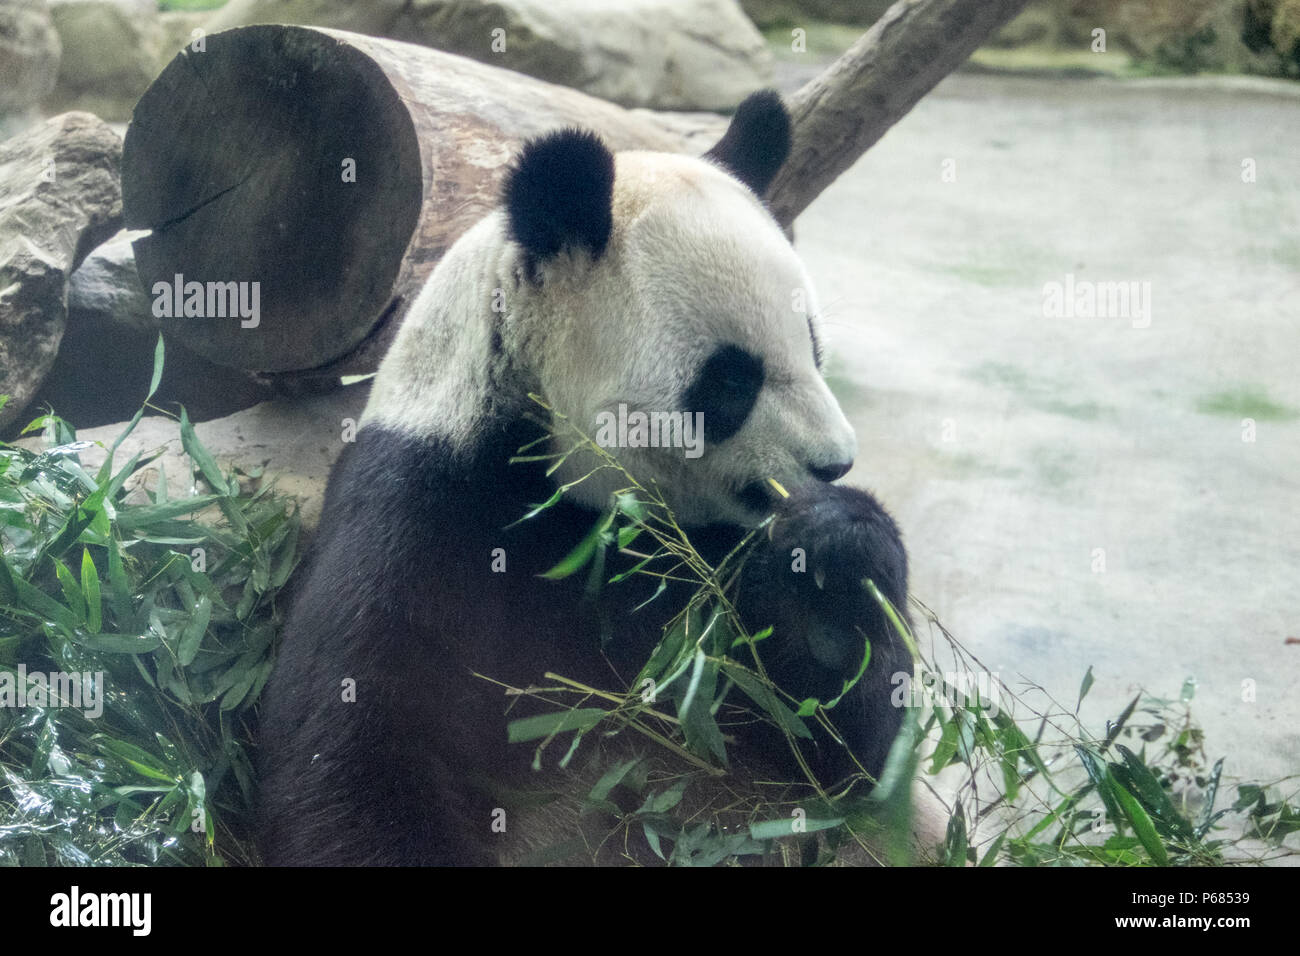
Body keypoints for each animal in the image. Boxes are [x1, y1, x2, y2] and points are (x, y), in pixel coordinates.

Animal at [256, 91, 913, 866]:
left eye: (813, 348)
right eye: (730, 380)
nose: (834, 462)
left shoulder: (712, 573)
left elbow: (837, 751)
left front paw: (835, 545)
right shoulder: (422, 509)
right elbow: (354, 747)